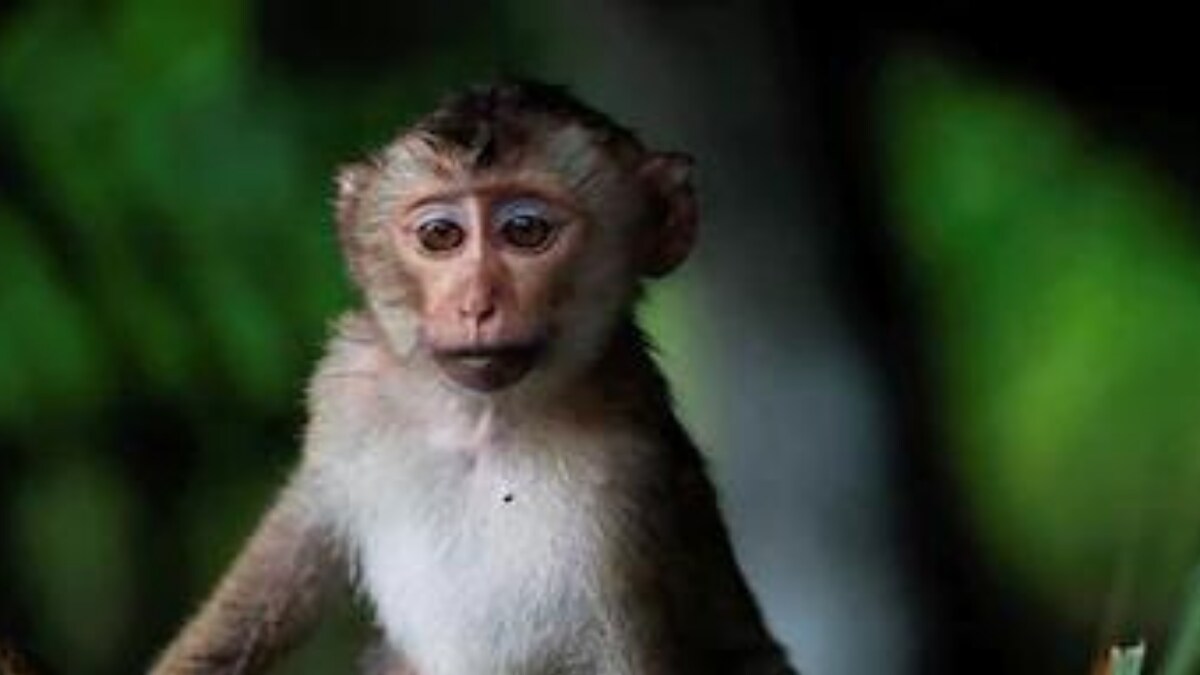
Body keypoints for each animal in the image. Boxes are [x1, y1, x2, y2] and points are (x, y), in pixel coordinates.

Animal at [151, 80, 798, 675]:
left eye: (526, 230)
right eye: (441, 235)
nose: (476, 304)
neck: (480, 424)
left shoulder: (626, 487)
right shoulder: (349, 389)